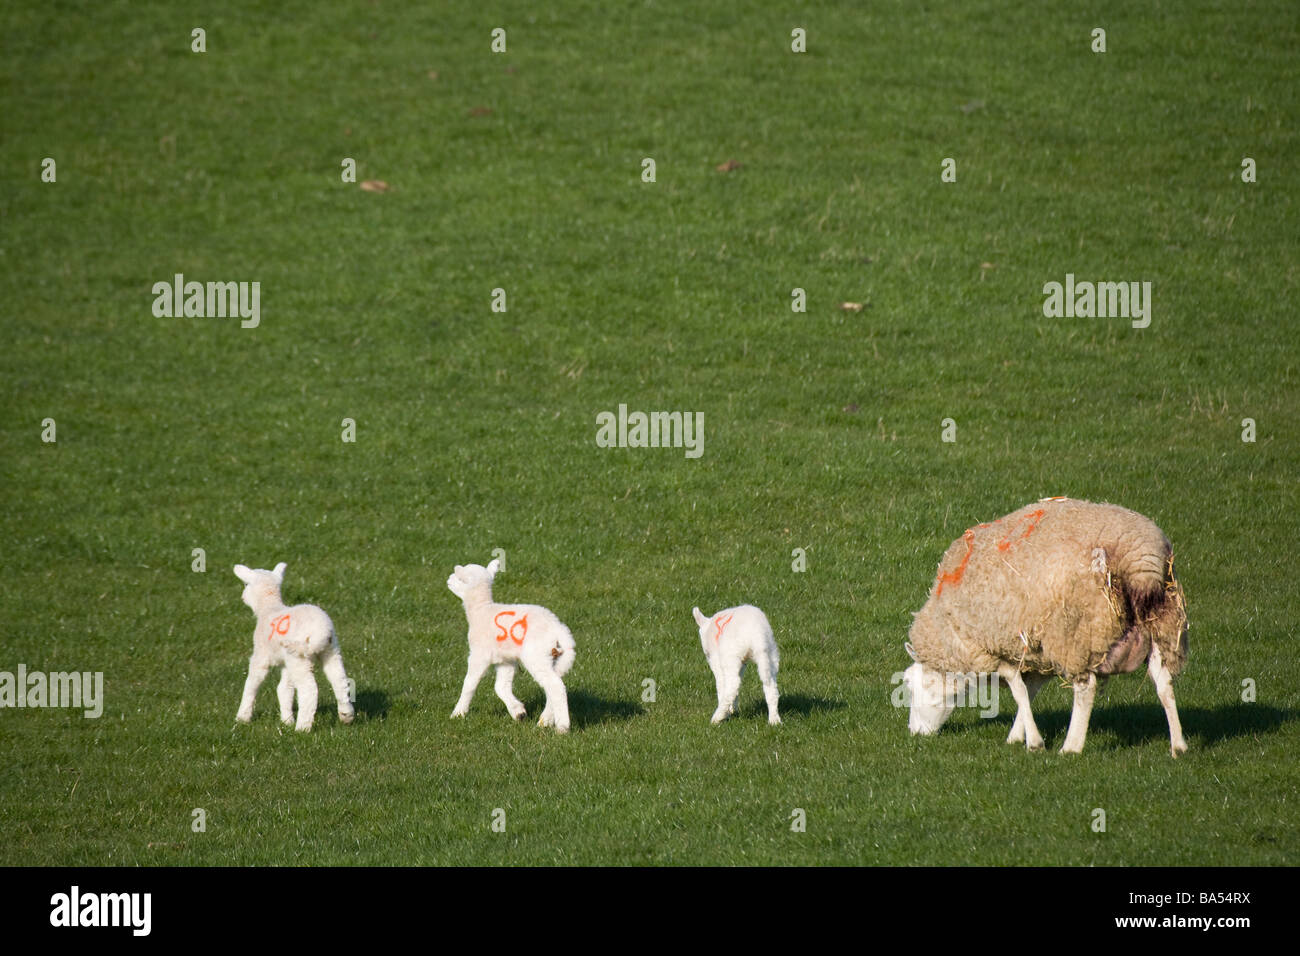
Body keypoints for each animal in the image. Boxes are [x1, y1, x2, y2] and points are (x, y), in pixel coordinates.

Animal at [232, 562, 355, 732]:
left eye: (245, 584)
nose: (242, 597)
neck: (268, 607)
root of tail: (320, 632)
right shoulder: (286, 663)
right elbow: (284, 689)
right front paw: (286, 720)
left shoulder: (261, 655)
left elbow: (252, 683)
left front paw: (242, 717)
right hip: (331, 650)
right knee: (340, 680)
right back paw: (346, 716)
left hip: (299, 657)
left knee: (309, 690)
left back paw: (302, 728)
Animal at [446, 559, 576, 733]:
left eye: (459, 577)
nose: (448, 578)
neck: (480, 609)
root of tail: (559, 629)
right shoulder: (505, 660)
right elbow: (501, 686)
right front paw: (518, 712)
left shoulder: (478, 655)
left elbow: (470, 683)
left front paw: (458, 713)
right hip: (557, 658)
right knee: (553, 686)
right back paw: (545, 720)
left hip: (537, 656)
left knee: (556, 687)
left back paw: (562, 727)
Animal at [902, 497, 1189, 755]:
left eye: (910, 686)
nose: (914, 733)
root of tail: (1140, 560)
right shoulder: (1035, 651)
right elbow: (1029, 691)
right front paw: (1018, 735)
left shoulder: (994, 649)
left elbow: (1018, 689)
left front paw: (1034, 742)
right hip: (1164, 624)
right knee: (1163, 681)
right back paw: (1178, 746)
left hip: (1078, 632)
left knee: (1086, 688)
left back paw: (1071, 747)